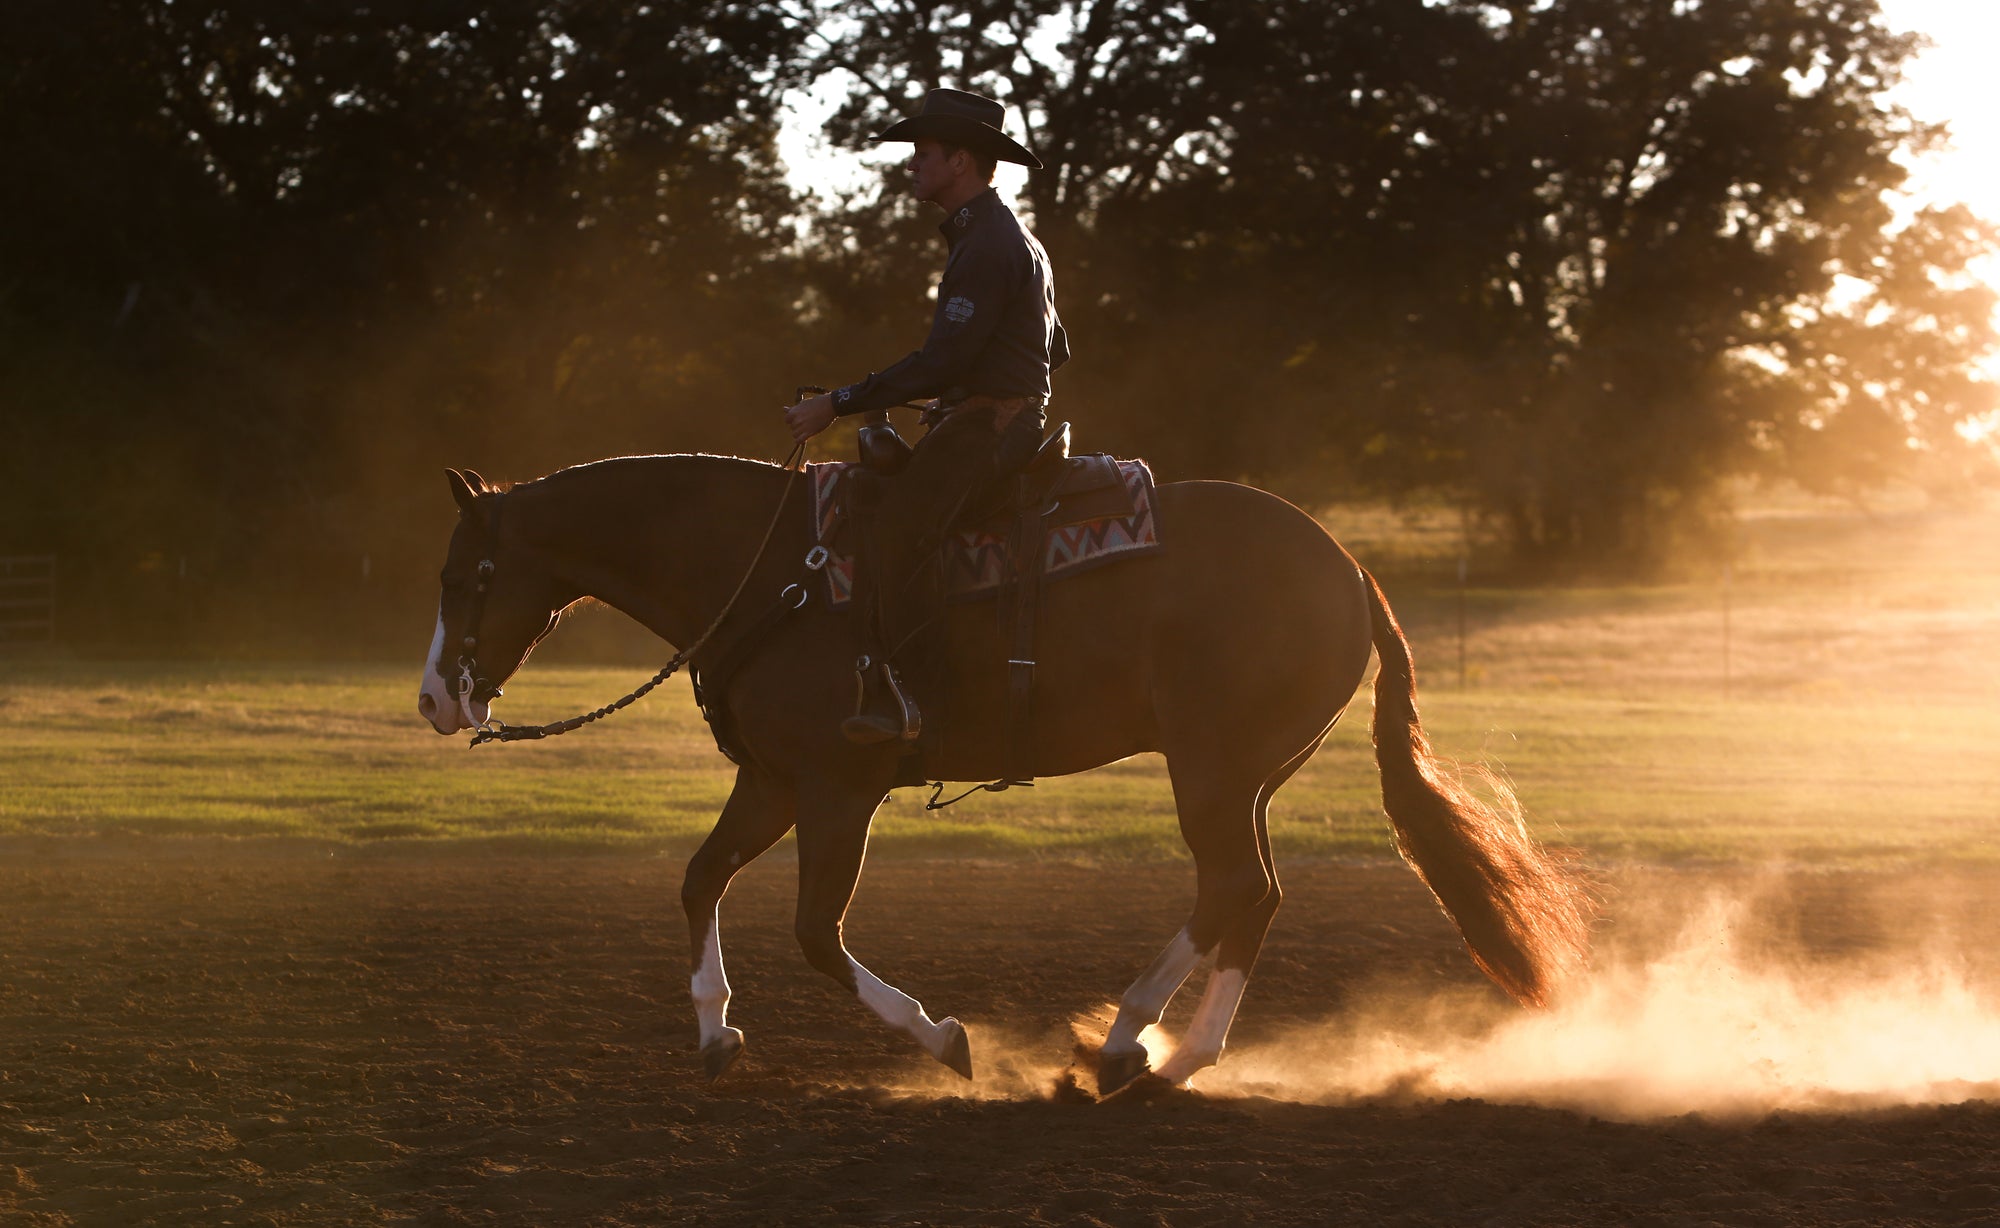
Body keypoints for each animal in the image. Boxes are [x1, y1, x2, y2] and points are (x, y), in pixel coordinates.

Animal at [416, 453, 1592, 1094]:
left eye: (467, 574)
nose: (434, 699)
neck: (775, 574)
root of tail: (1349, 565)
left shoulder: (839, 787)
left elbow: (815, 931)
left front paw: (942, 1039)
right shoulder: (774, 782)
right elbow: (700, 879)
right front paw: (713, 1031)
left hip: (1213, 770)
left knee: (1233, 887)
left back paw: (1123, 1041)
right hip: (1242, 775)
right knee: (1249, 897)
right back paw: (1180, 1056)